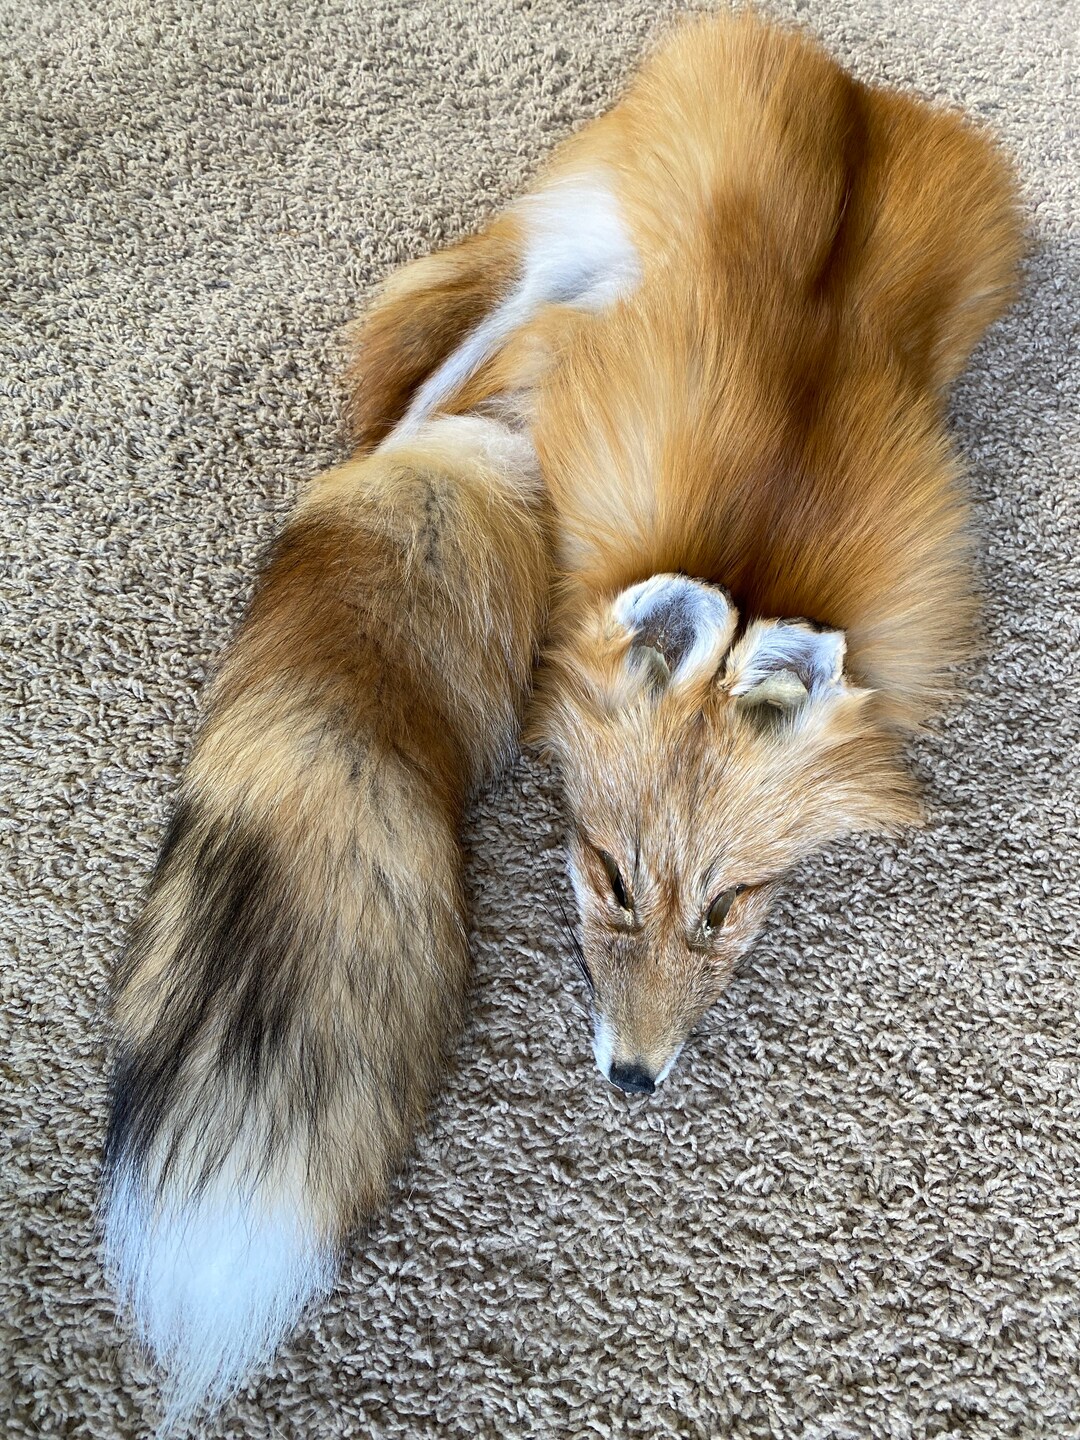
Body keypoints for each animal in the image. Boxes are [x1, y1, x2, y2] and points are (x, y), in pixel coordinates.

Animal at [100, 9, 1023, 1424]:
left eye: (727, 908)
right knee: (431, 384)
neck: (761, 532)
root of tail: (850, 83)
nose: (633, 1082)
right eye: (608, 877)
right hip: (560, 244)